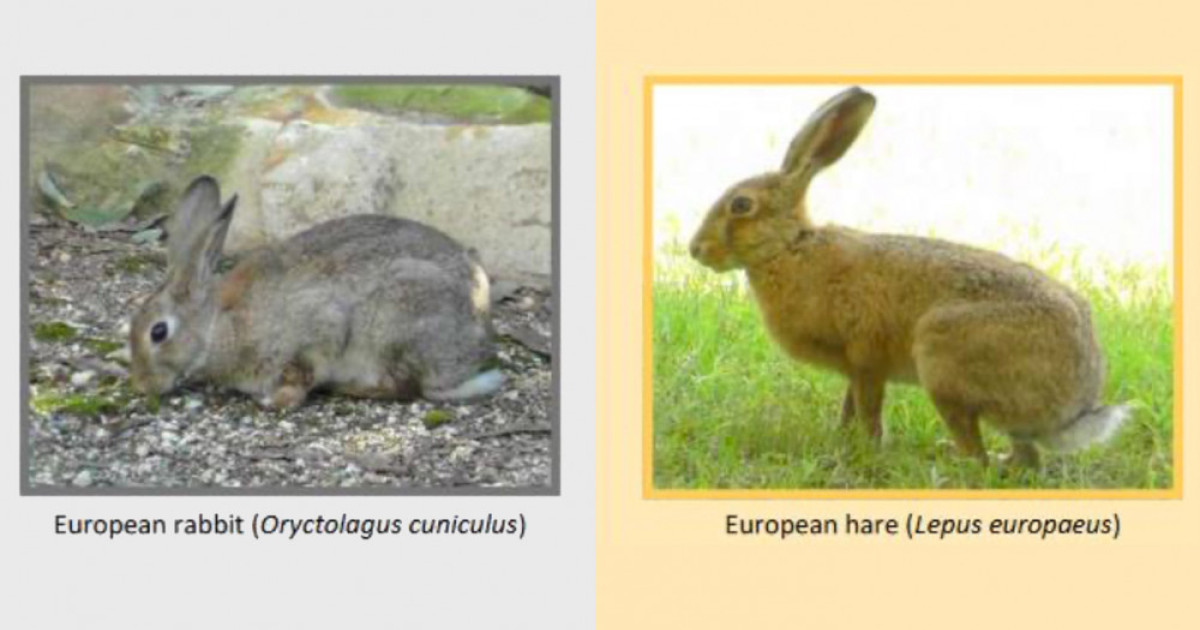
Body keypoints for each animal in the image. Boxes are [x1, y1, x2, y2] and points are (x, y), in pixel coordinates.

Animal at [130, 175, 504, 409]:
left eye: (158, 332)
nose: (144, 385)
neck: (218, 323)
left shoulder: (315, 332)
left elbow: (303, 372)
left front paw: (276, 401)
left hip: (396, 325)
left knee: (405, 387)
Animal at [688, 86, 1128, 467]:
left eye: (741, 206)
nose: (695, 250)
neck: (790, 247)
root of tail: (1075, 404)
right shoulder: (855, 369)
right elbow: (849, 407)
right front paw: (841, 443)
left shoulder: (865, 358)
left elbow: (868, 410)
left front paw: (865, 452)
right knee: (1024, 458)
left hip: (941, 360)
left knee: (980, 456)